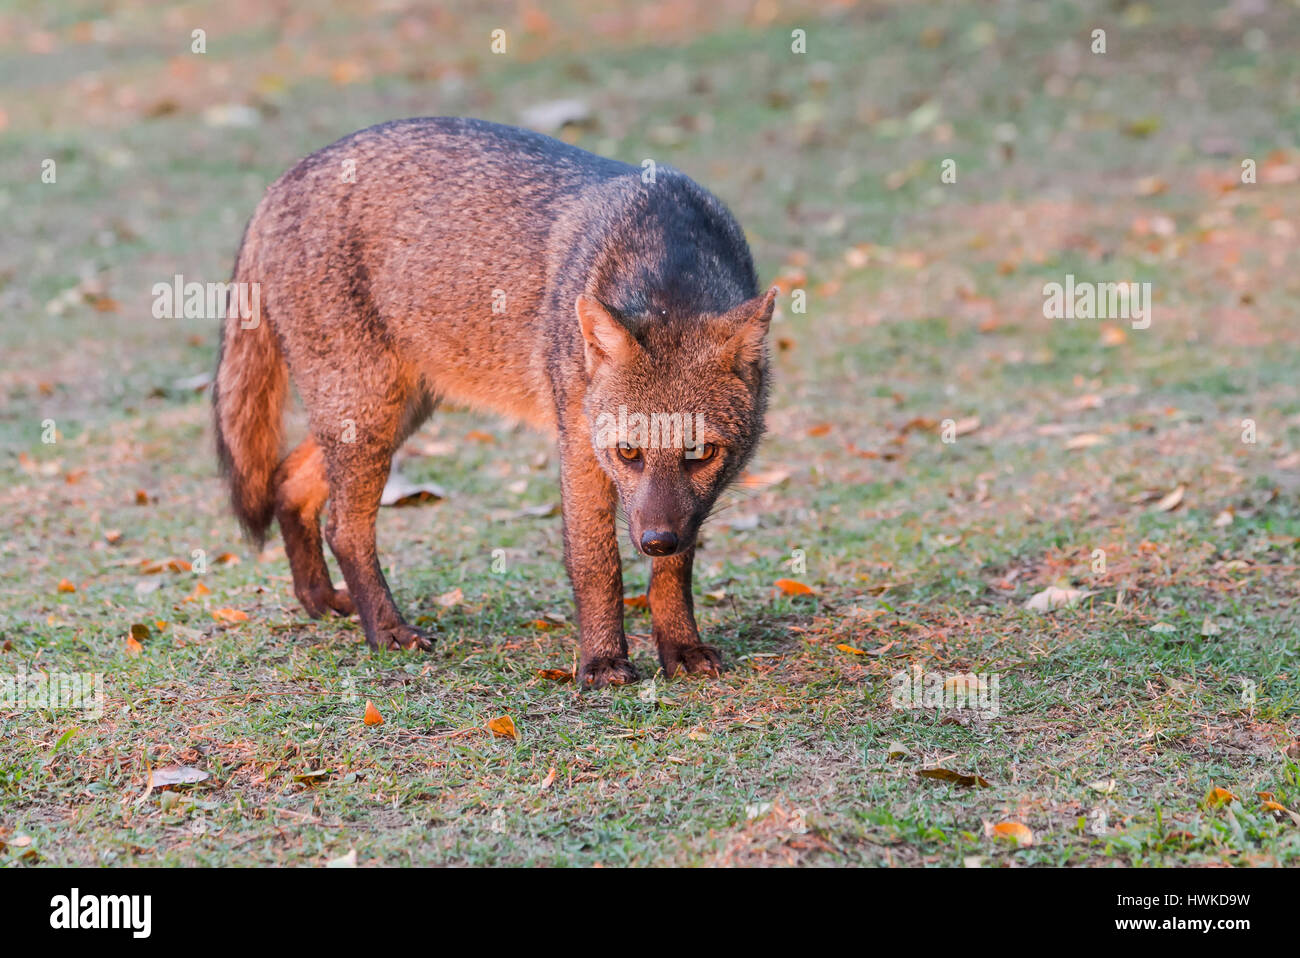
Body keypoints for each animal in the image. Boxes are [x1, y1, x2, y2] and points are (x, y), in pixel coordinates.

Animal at [213, 117, 777, 688]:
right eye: (628, 453)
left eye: (701, 454)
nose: (656, 541)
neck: (667, 261)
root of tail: (285, 180)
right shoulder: (580, 447)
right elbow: (597, 562)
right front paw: (601, 660)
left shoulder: (675, 514)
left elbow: (674, 573)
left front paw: (681, 647)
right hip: (368, 414)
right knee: (343, 528)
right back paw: (388, 630)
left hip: (392, 415)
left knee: (288, 482)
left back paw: (320, 601)